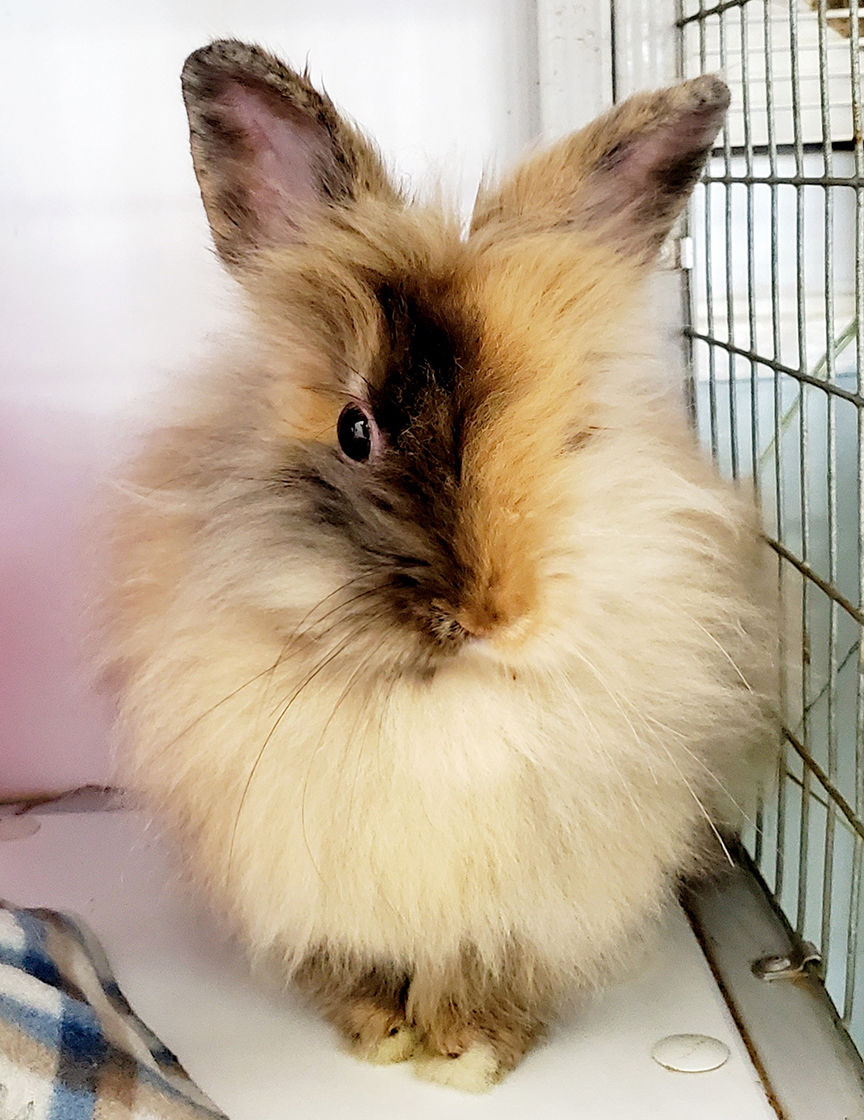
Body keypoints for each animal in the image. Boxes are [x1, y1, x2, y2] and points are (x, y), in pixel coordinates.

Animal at [105, 40, 777, 1093]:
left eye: (576, 434)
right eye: (355, 431)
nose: (497, 614)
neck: (437, 700)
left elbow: (484, 964)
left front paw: (466, 1049)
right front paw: (383, 1029)